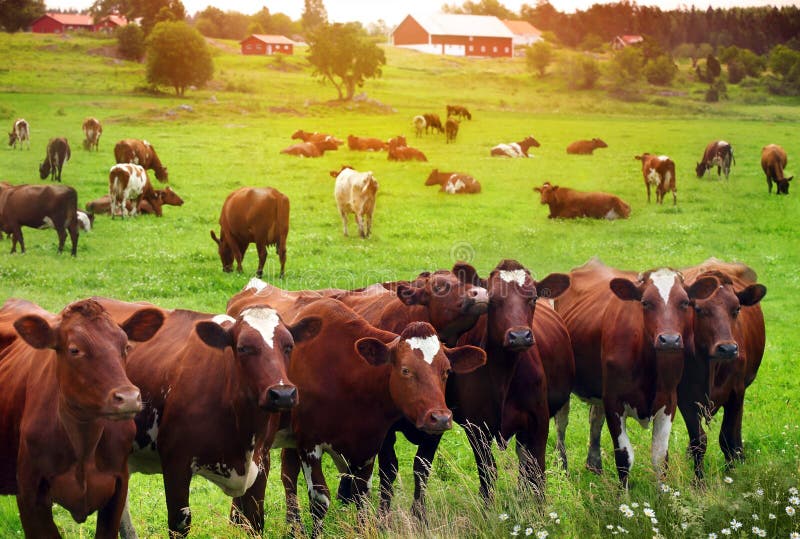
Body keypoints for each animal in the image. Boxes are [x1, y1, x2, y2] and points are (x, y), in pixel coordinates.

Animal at [0, 298, 164, 538]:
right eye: (74, 350)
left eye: (126, 346)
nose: (129, 398)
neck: (84, 446)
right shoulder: (29, 498)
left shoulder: (117, 490)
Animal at [91, 298, 321, 538]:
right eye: (243, 348)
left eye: (289, 346)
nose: (283, 394)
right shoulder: (175, 463)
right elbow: (179, 525)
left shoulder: (261, 462)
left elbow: (255, 522)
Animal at [276, 299, 486, 537]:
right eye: (405, 370)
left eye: (447, 371)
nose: (440, 418)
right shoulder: (309, 445)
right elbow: (321, 500)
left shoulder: (368, 447)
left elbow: (361, 496)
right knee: (288, 477)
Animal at [554, 258, 718, 487]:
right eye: (645, 302)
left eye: (685, 302)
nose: (669, 340)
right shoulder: (614, 401)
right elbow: (624, 457)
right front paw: (623, 495)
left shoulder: (668, 402)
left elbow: (660, 457)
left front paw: (663, 493)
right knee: (561, 424)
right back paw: (562, 468)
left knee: (595, 419)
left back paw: (594, 465)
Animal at [677, 258, 767, 480]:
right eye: (698, 309)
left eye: (736, 308)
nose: (727, 348)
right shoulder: (685, 398)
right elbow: (699, 441)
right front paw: (698, 481)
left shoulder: (736, 392)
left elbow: (727, 438)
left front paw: (731, 474)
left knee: (736, 430)